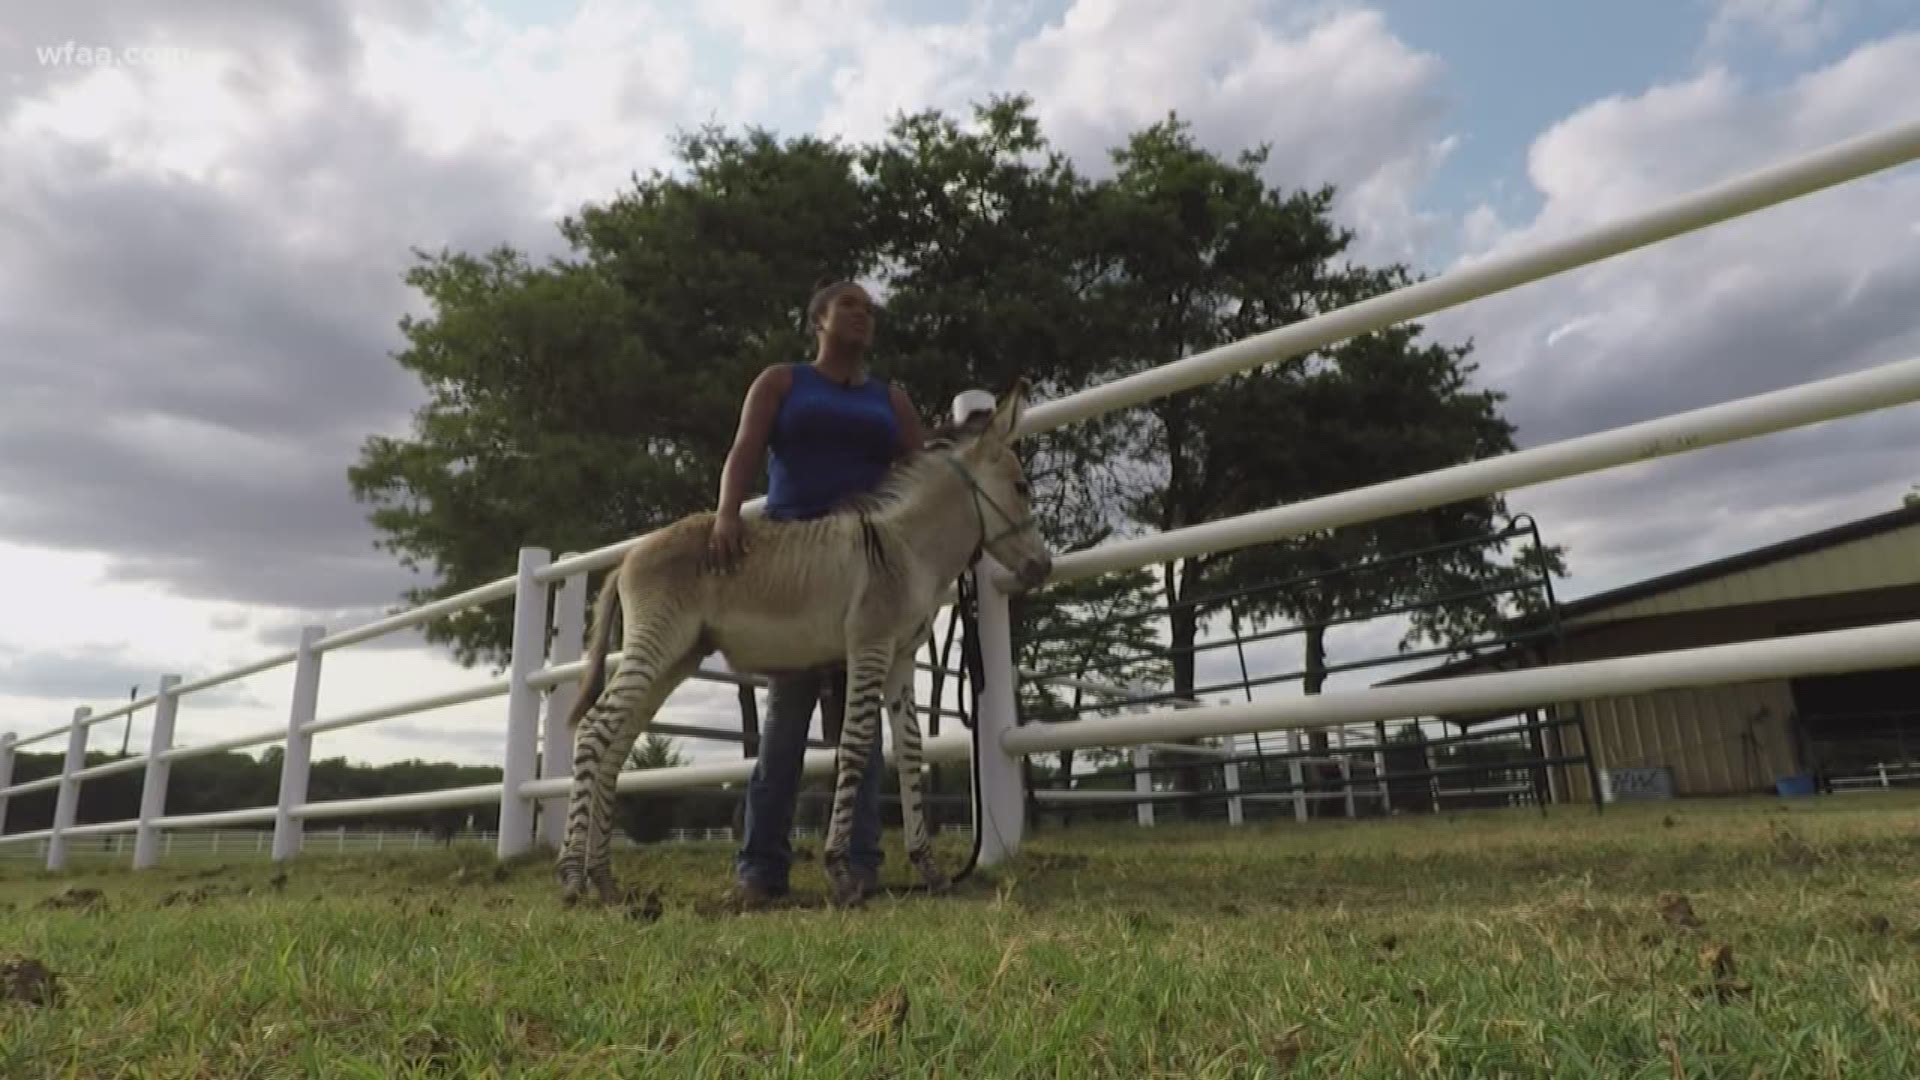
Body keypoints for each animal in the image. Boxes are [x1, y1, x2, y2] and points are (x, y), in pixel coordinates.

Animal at [557, 380, 1052, 908]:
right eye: (1022, 488)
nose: (1043, 569)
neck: (907, 551)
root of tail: (626, 558)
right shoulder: (869, 647)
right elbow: (854, 747)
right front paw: (841, 873)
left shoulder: (900, 657)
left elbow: (911, 752)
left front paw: (931, 871)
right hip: (655, 646)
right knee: (594, 730)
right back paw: (571, 880)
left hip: (674, 658)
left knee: (616, 743)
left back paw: (605, 881)